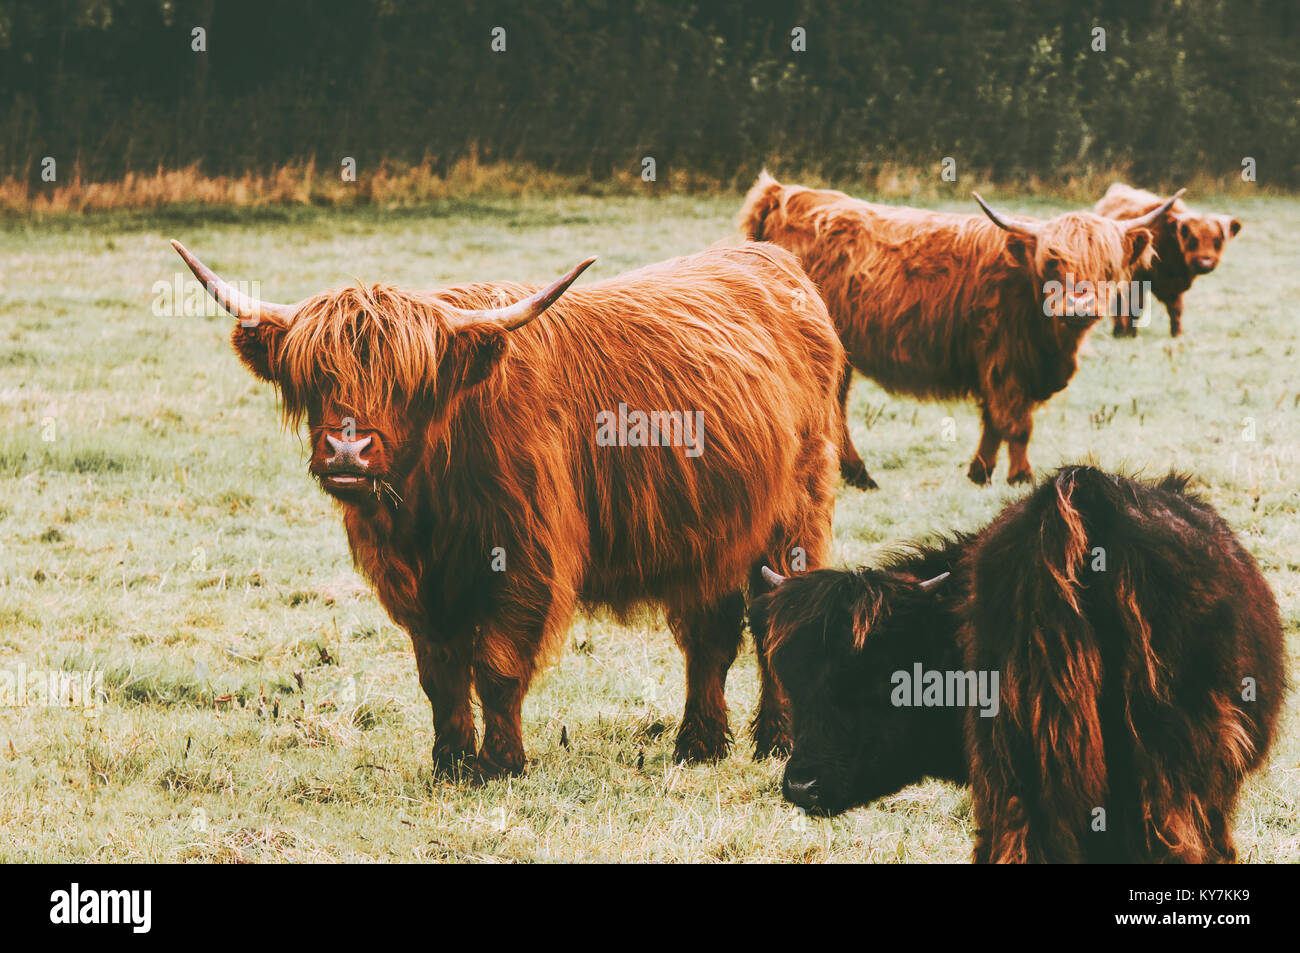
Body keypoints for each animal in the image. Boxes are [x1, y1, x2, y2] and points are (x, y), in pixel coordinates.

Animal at [171, 239, 843, 778]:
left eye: (408, 383)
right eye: (314, 376)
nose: (347, 450)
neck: (428, 509)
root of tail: (775, 262)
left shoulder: (525, 559)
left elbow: (496, 666)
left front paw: (501, 765)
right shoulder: (415, 582)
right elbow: (440, 675)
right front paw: (449, 764)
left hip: (792, 522)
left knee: (776, 620)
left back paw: (776, 743)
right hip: (709, 536)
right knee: (710, 637)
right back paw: (699, 747)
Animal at [739, 173, 1181, 487]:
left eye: (1107, 266)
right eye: (1053, 260)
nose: (1078, 307)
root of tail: (783, 195)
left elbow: (994, 423)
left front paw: (980, 471)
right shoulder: (1005, 360)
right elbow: (1016, 424)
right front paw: (1020, 476)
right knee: (835, 413)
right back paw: (859, 475)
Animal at [1095, 183, 1243, 337]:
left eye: (1217, 240)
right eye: (1193, 239)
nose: (1206, 262)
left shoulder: (1175, 287)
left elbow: (1176, 309)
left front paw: (1177, 333)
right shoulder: (1136, 281)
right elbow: (1134, 307)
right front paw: (1130, 334)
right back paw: (1118, 331)